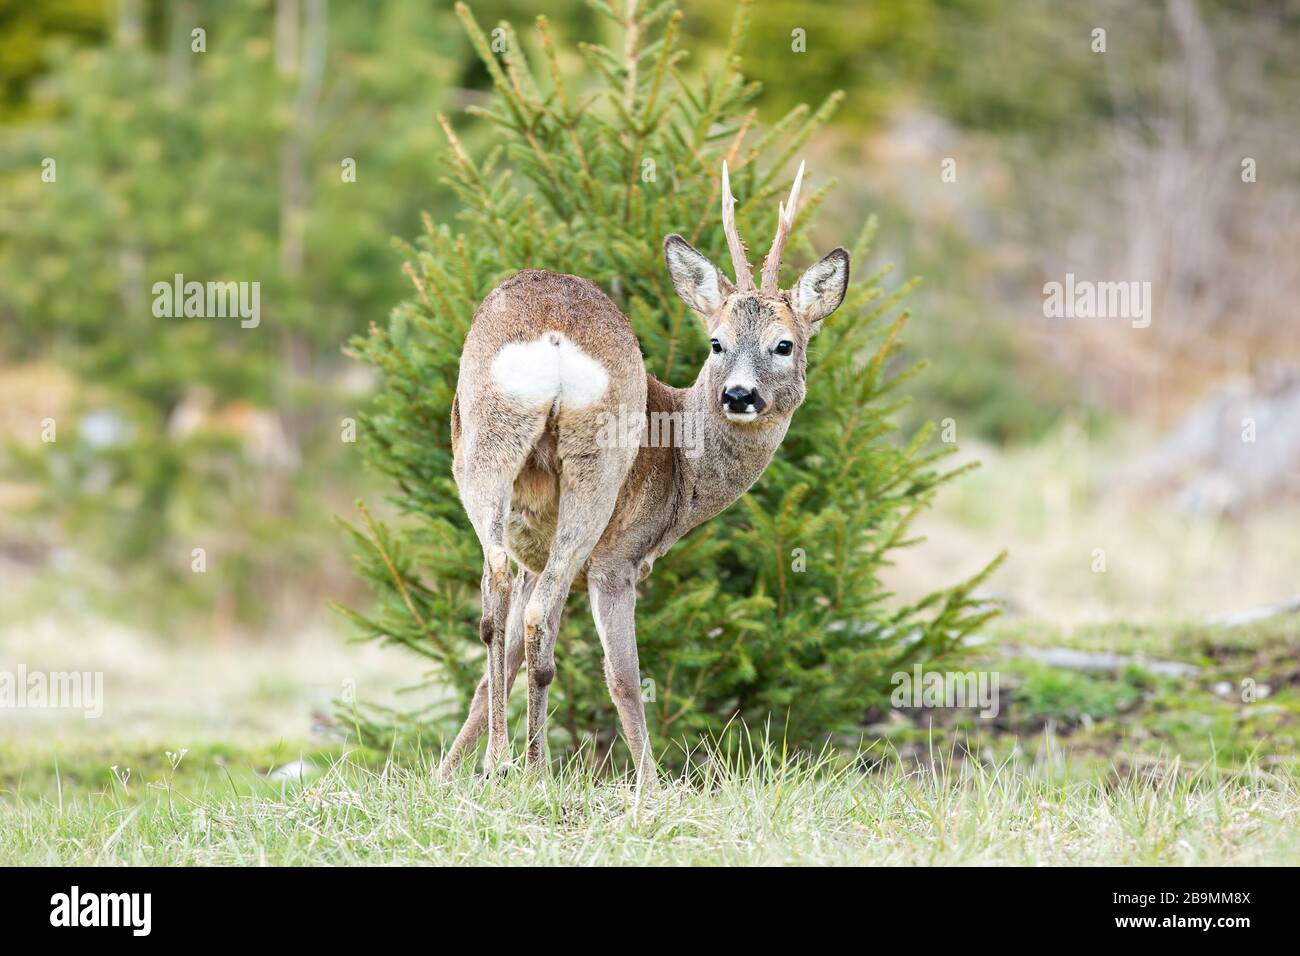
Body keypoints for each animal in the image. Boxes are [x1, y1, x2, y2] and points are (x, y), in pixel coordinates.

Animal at [437, 161, 850, 789]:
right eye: (716, 342)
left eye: (783, 344)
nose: (739, 395)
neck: (681, 468)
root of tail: (553, 337)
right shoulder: (620, 557)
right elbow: (625, 677)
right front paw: (652, 786)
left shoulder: (533, 546)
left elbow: (493, 675)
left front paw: (446, 773)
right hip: (596, 473)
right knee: (540, 620)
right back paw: (533, 767)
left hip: (487, 442)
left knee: (495, 596)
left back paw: (501, 758)